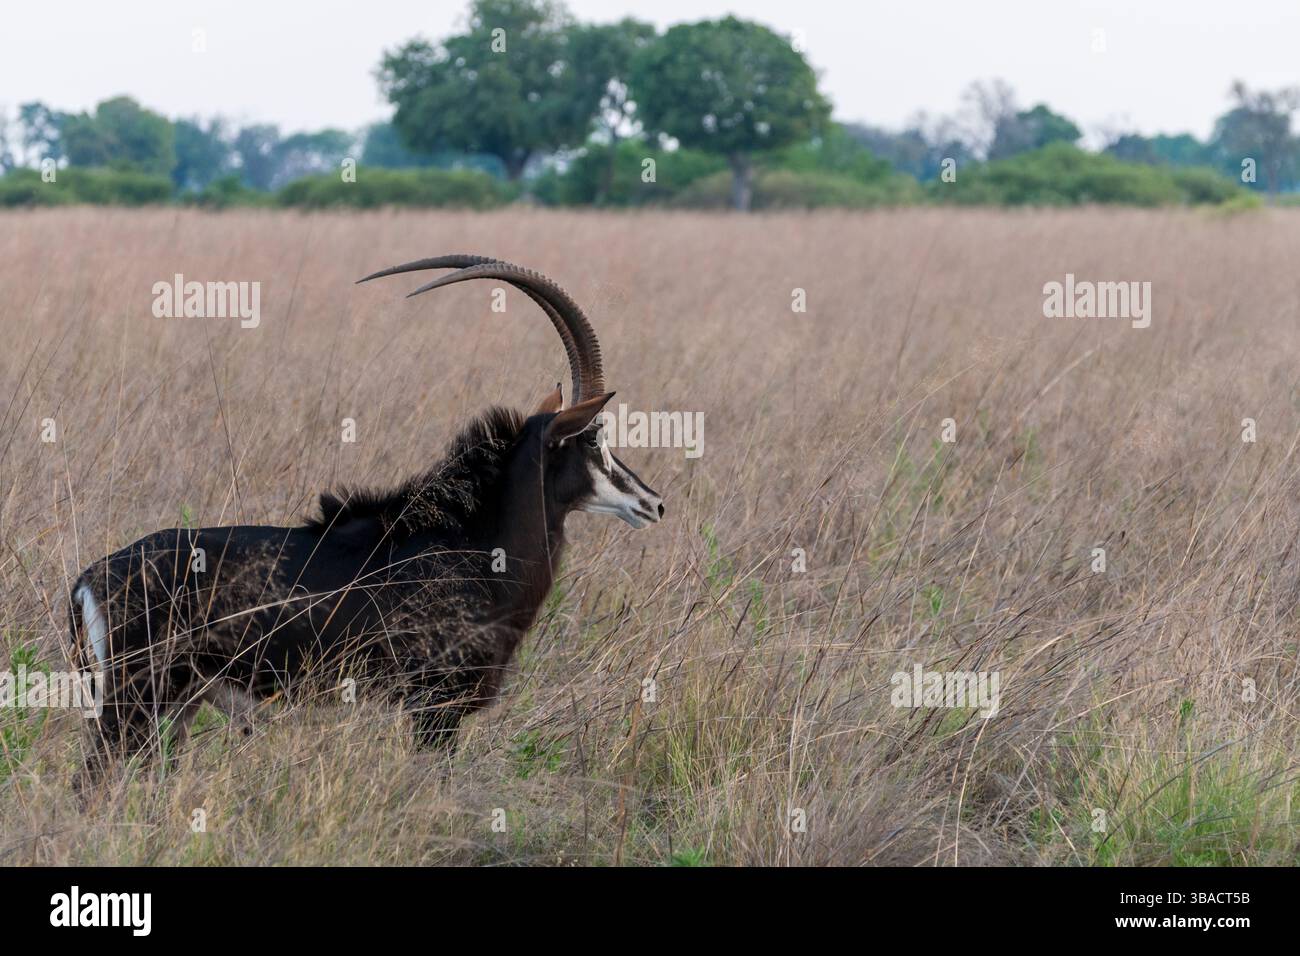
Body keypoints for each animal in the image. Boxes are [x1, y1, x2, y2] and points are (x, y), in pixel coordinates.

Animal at [67, 255, 663, 786]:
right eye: (594, 439)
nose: (654, 503)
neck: (474, 545)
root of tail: (88, 580)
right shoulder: (435, 707)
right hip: (136, 698)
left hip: (178, 701)